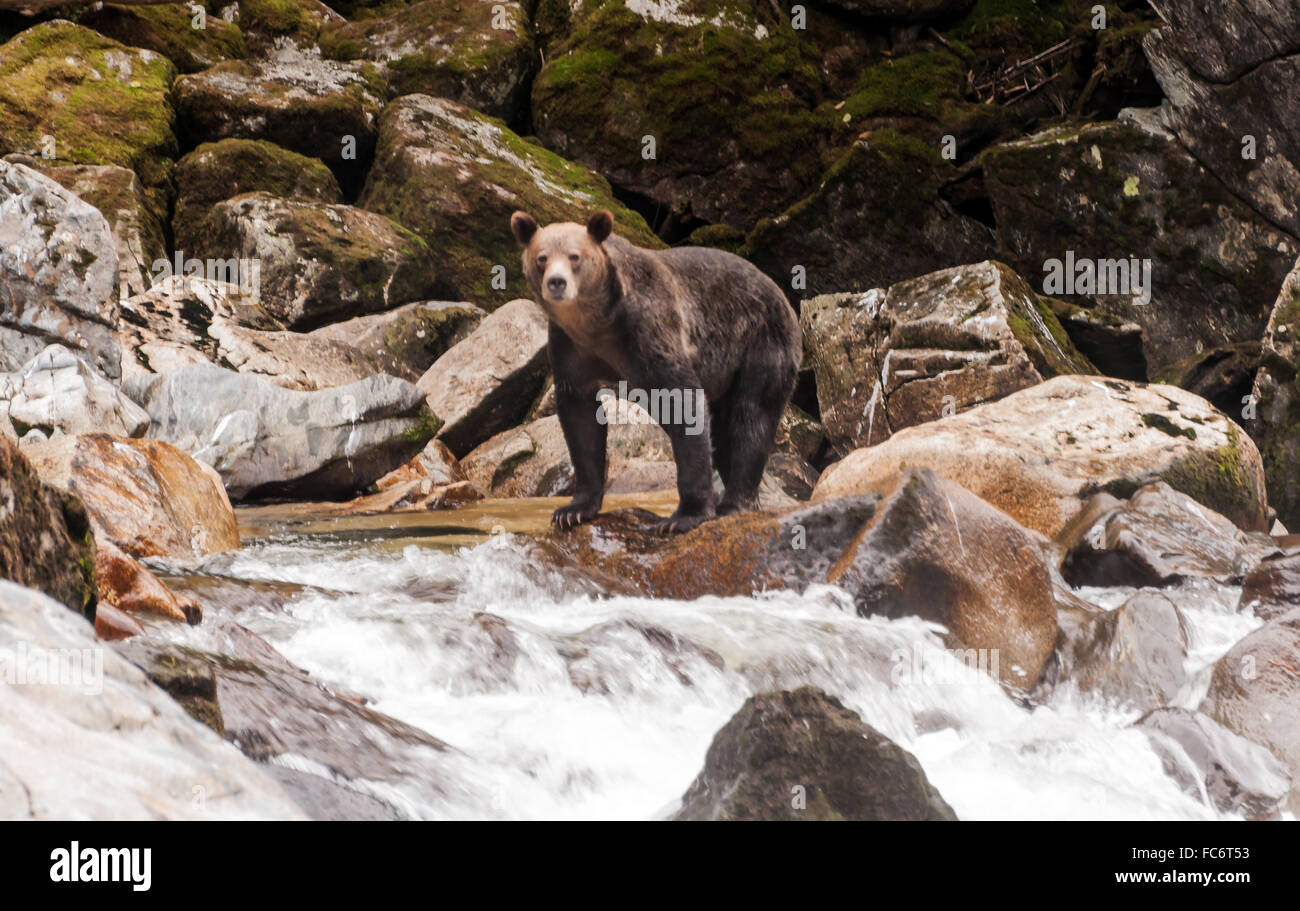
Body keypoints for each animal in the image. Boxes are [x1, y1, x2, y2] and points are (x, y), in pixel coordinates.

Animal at [510, 209, 802, 534]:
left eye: (575, 256)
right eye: (542, 257)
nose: (557, 282)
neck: (597, 322)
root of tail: (783, 295)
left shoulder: (649, 331)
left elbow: (684, 402)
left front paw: (685, 515)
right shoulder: (570, 348)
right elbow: (580, 420)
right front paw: (573, 510)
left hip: (760, 343)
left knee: (751, 418)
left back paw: (734, 503)